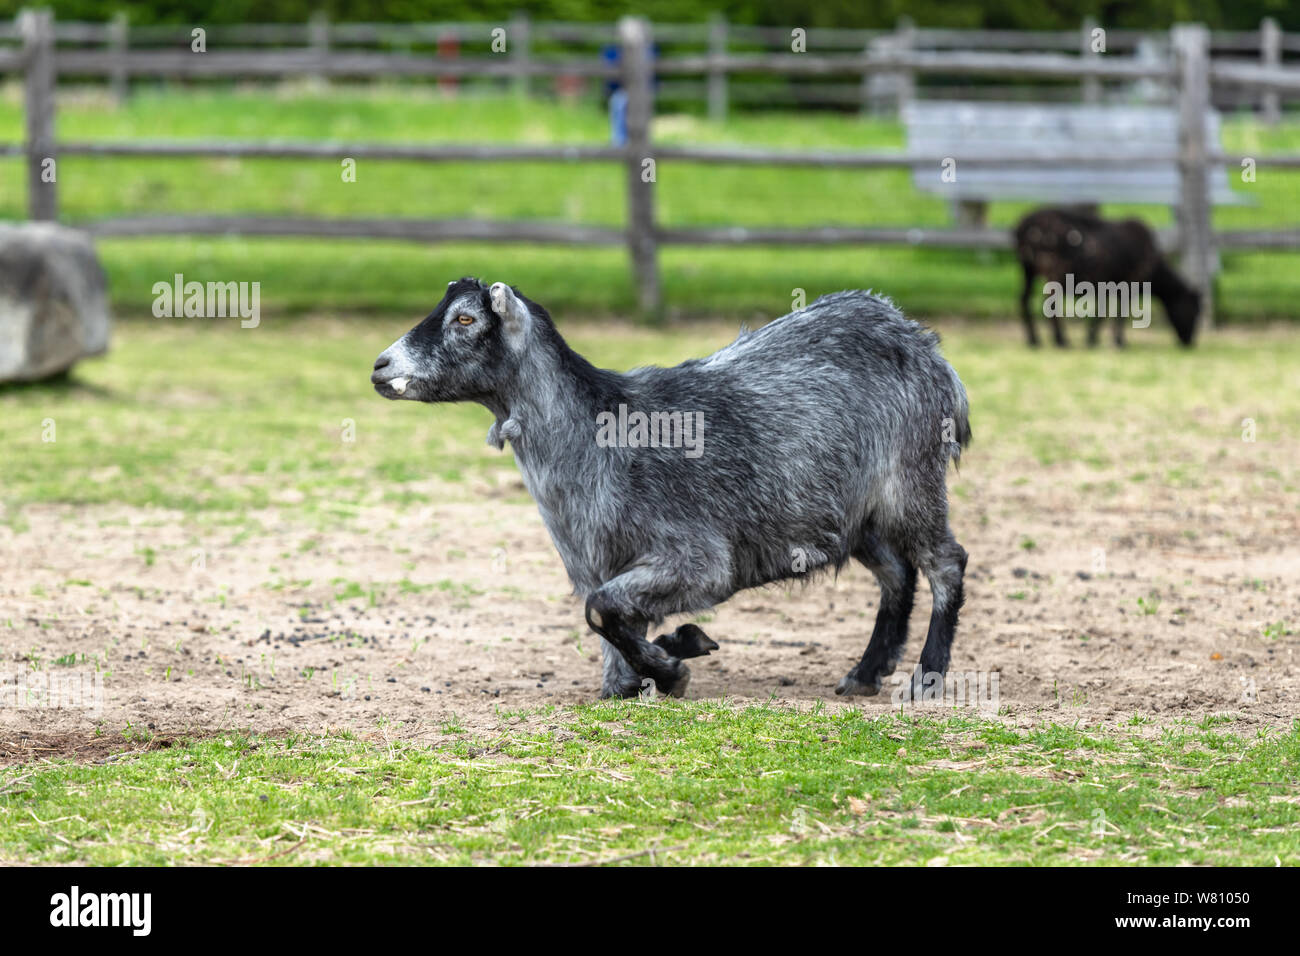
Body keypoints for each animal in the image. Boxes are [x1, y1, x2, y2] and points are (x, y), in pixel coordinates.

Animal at [371, 279, 972, 700]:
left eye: (465, 318)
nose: (381, 366)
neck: (599, 435)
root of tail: (926, 347)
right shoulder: (601, 563)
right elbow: (611, 627)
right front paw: (654, 664)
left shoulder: (698, 561)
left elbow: (601, 609)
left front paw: (673, 666)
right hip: (856, 512)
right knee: (897, 573)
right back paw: (866, 673)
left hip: (910, 480)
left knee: (945, 563)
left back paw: (926, 679)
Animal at [1014, 207, 1199, 348]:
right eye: (1193, 309)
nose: (1189, 342)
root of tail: (1022, 226)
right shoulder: (1131, 281)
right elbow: (1119, 313)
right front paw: (1118, 342)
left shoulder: (1109, 285)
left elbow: (1102, 312)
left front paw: (1093, 340)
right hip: (1053, 269)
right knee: (1049, 302)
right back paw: (1061, 341)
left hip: (1028, 268)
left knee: (1024, 298)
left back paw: (1034, 340)